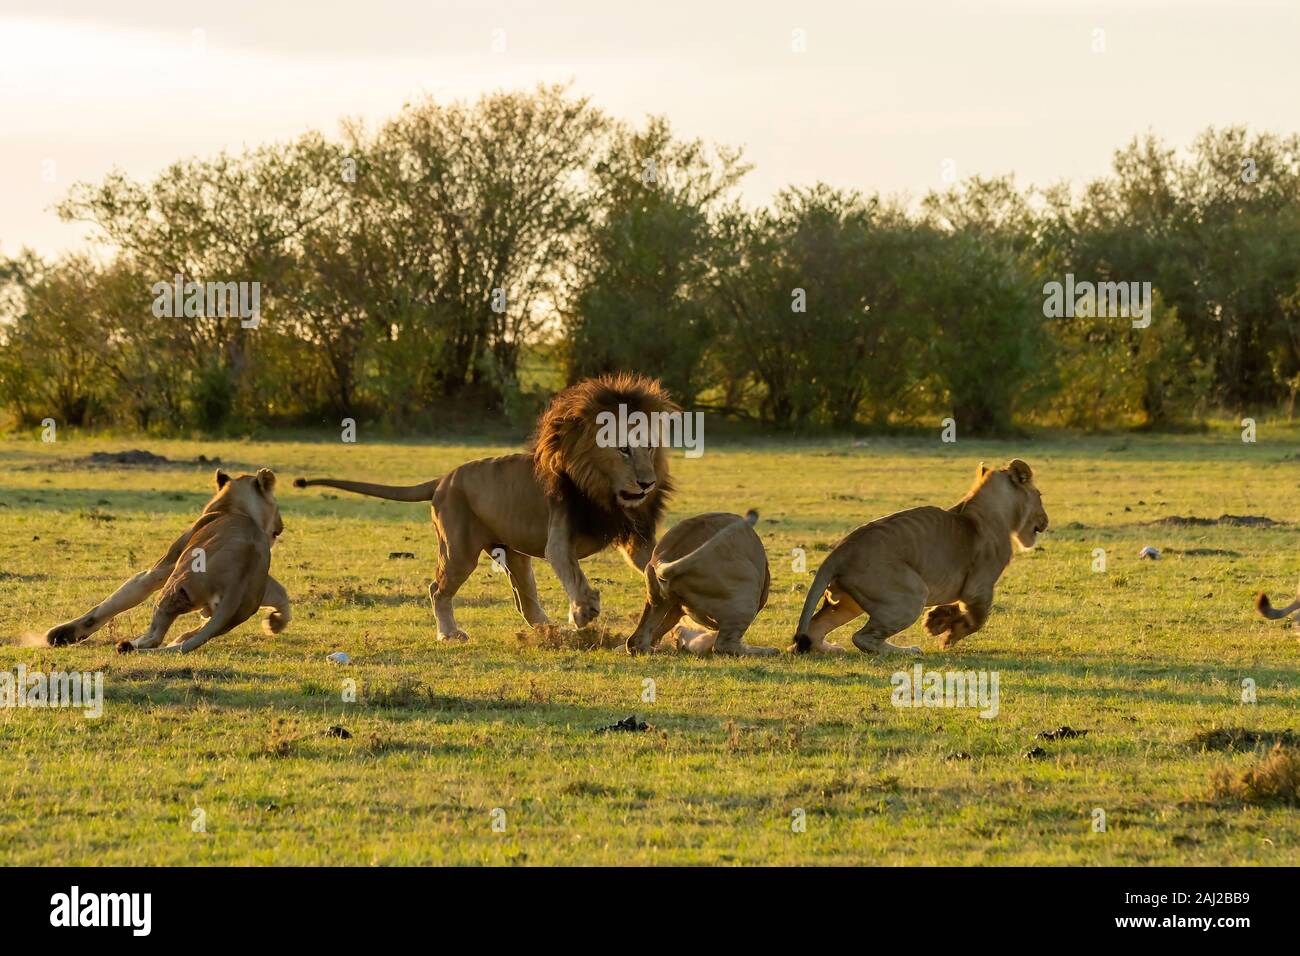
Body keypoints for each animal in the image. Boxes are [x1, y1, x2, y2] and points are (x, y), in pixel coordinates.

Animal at [44, 469, 289, 654]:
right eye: (277, 504)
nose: (282, 525)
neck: (236, 510)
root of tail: (237, 584)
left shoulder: (159, 569)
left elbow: (112, 603)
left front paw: (62, 634)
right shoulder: (266, 579)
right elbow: (283, 596)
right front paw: (274, 622)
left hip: (174, 586)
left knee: (155, 636)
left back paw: (130, 645)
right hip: (231, 612)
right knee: (197, 631)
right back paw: (176, 640)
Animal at [294, 374, 675, 641]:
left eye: (649, 448)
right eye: (623, 450)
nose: (647, 483)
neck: (604, 492)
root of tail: (443, 479)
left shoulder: (636, 539)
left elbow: (653, 563)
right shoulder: (559, 539)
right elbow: (574, 574)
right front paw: (583, 611)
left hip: (513, 554)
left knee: (524, 600)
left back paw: (549, 630)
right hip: (459, 550)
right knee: (437, 589)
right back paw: (449, 633)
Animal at [626, 510, 776, 656]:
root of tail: (661, 558)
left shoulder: (676, 610)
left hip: (659, 604)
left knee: (636, 640)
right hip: (746, 596)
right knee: (723, 645)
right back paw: (767, 651)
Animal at [791, 459, 1047, 654]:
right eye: (1040, 494)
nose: (1046, 521)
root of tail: (839, 551)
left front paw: (936, 621)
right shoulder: (978, 586)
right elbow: (978, 619)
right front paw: (949, 636)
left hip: (847, 603)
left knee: (813, 630)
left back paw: (831, 649)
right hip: (911, 594)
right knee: (861, 637)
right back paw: (907, 651)